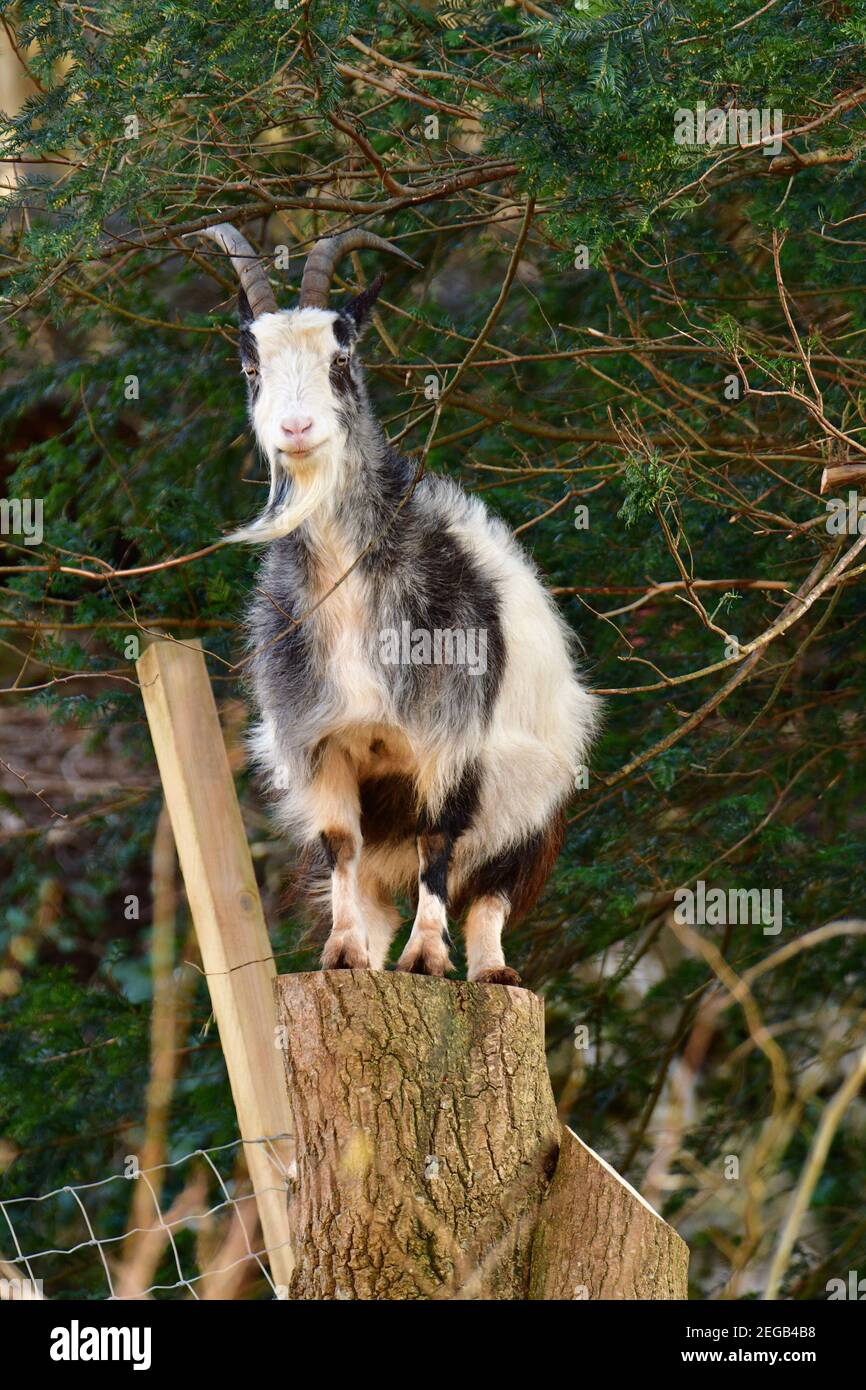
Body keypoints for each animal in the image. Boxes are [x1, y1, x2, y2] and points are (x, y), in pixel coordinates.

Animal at [197, 223, 600, 984]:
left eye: (342, 357)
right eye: (251, 367)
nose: (296, 429)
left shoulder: (454, 741)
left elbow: (436, 843)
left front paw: (426, 959)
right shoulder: (321, 745)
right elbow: (341, 845)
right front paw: (344, 953)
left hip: (533, 805)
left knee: (490, 891)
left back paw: (490, 970)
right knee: (379, 879)